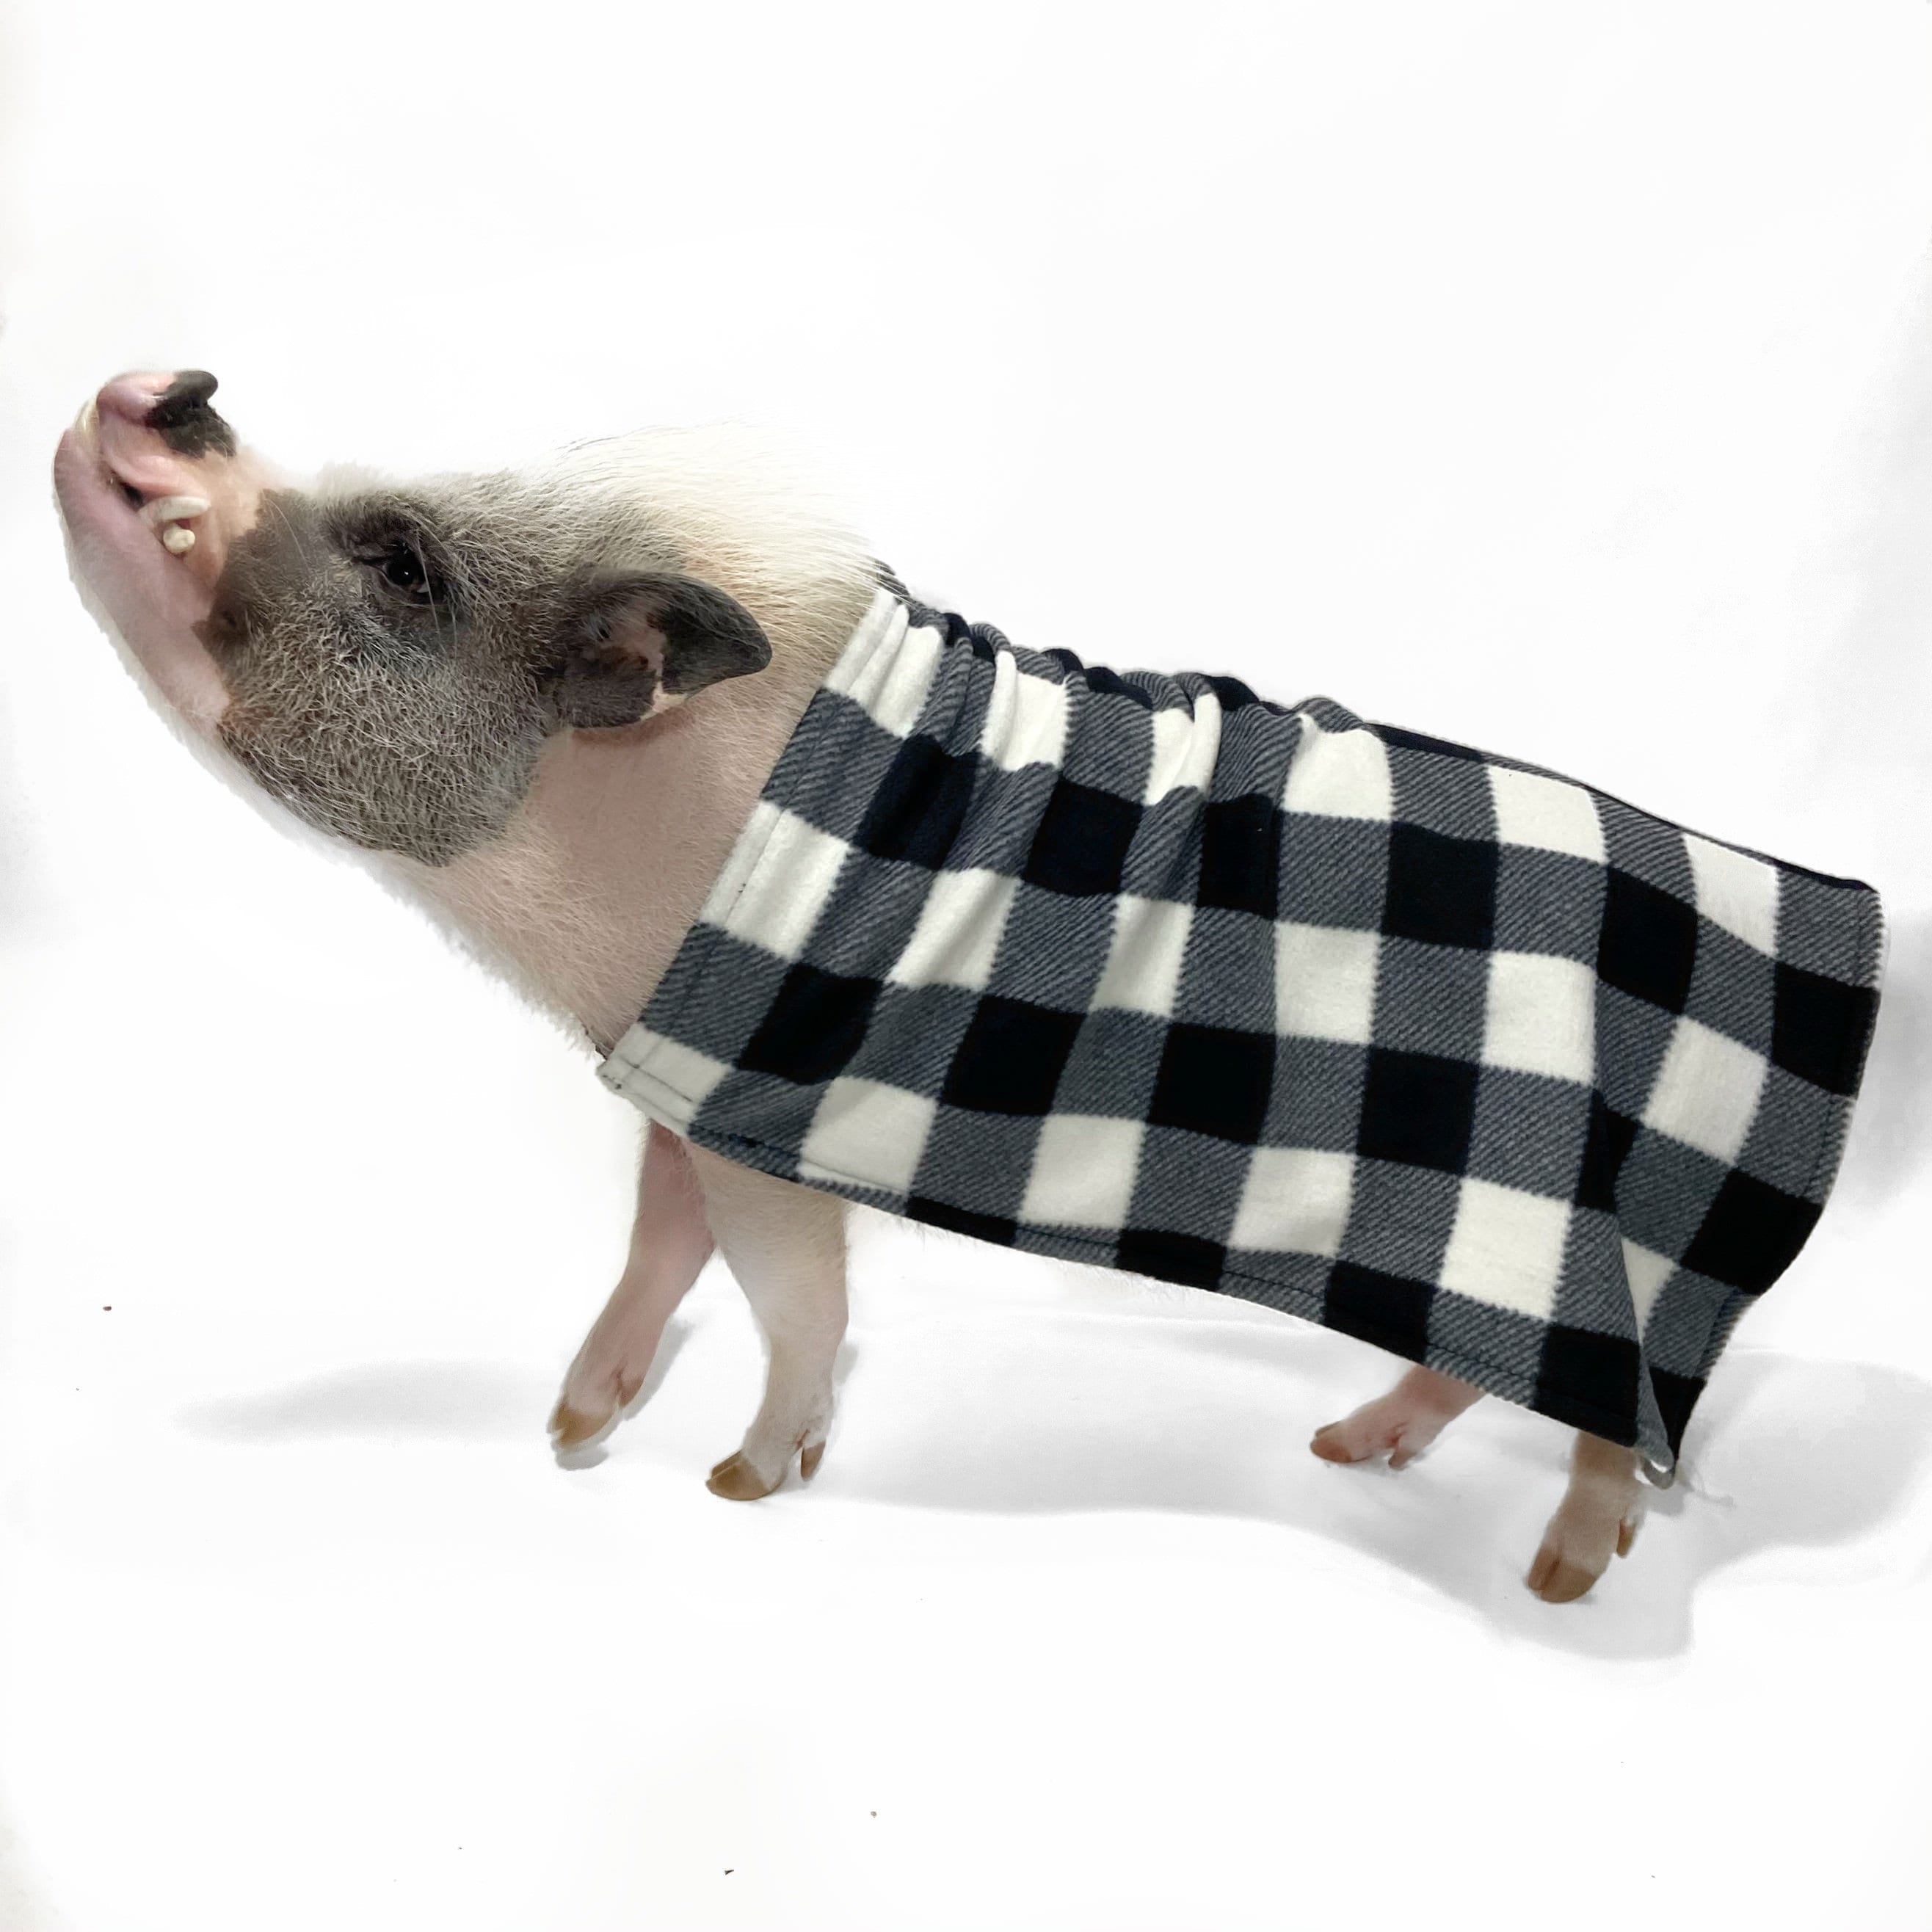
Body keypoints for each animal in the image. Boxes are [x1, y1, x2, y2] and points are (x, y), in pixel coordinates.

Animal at [53, 370, 1881, 1604]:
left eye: (404, 565)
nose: (171, 390)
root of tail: (1818, 934)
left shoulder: (754, 1113)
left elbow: (793, 1296)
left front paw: (738, 1483)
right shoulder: (671, 1082)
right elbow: (654, 1239)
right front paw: (574, 1434)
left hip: (1594, 1241)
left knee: (1608, 1424)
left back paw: (1556, 1577)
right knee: (1460, 1363)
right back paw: (1343, 1454)